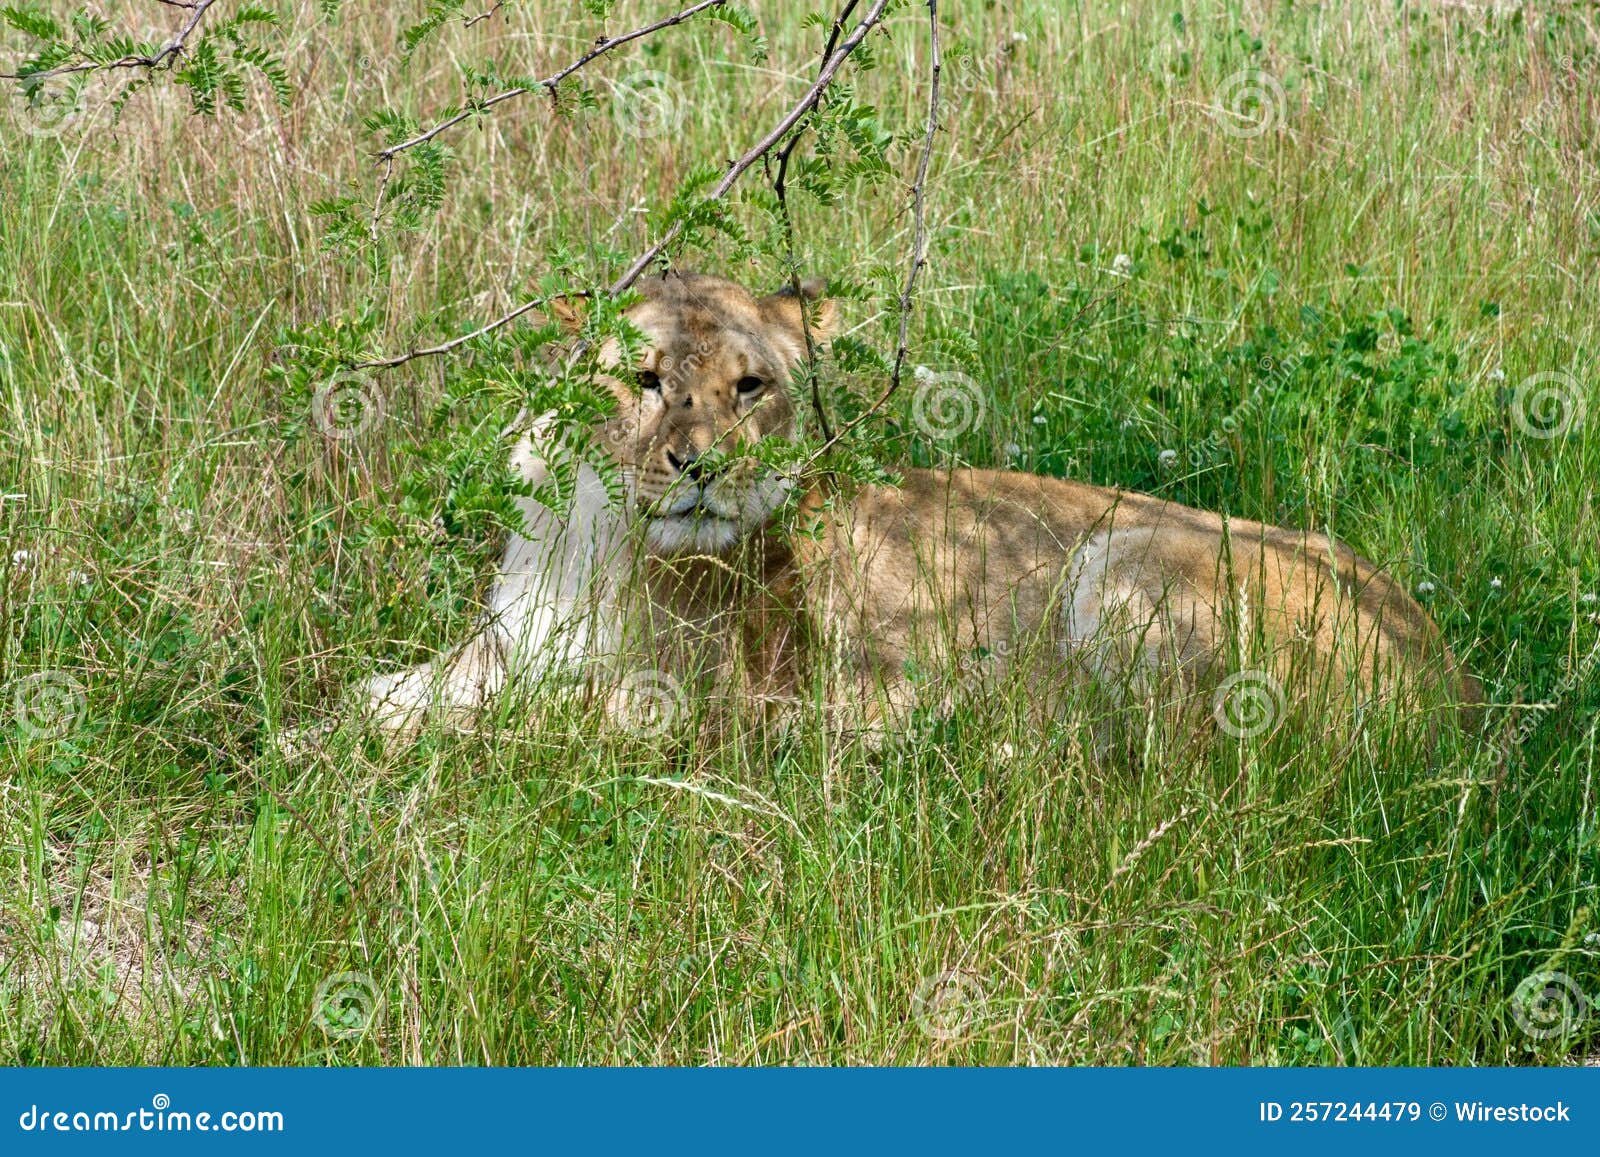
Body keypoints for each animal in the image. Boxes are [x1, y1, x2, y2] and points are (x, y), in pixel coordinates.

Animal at [362, 272, 1480, 744]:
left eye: (750, 387)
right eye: (643, 379)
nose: (700, 468)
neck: (596, 535)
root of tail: (1461, 692)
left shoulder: (701, 693)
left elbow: (549, 715)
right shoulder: (509, 636)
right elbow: (401, 687)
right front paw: (354, 717)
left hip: (1123, 561)